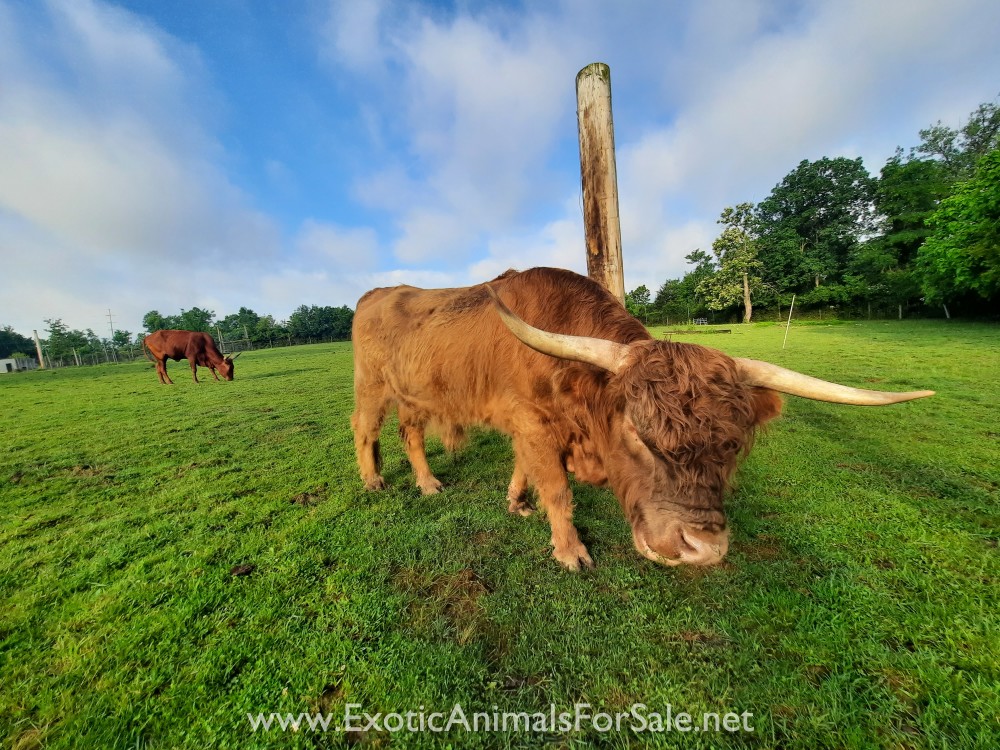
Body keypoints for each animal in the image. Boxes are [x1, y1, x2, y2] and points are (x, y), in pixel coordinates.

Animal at [350, 268, 933, 571]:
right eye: (638, 432)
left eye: (732, 444)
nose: (703, 549)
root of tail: (377, 291)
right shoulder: (534, 423)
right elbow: (557, 488)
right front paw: (571, 552)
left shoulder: (530, 427)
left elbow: (526, 472)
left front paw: (517, 503)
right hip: (372, 386)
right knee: (365, 429)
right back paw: (377, 481)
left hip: (414, 394)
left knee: (410, 432)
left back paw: (428, 483)